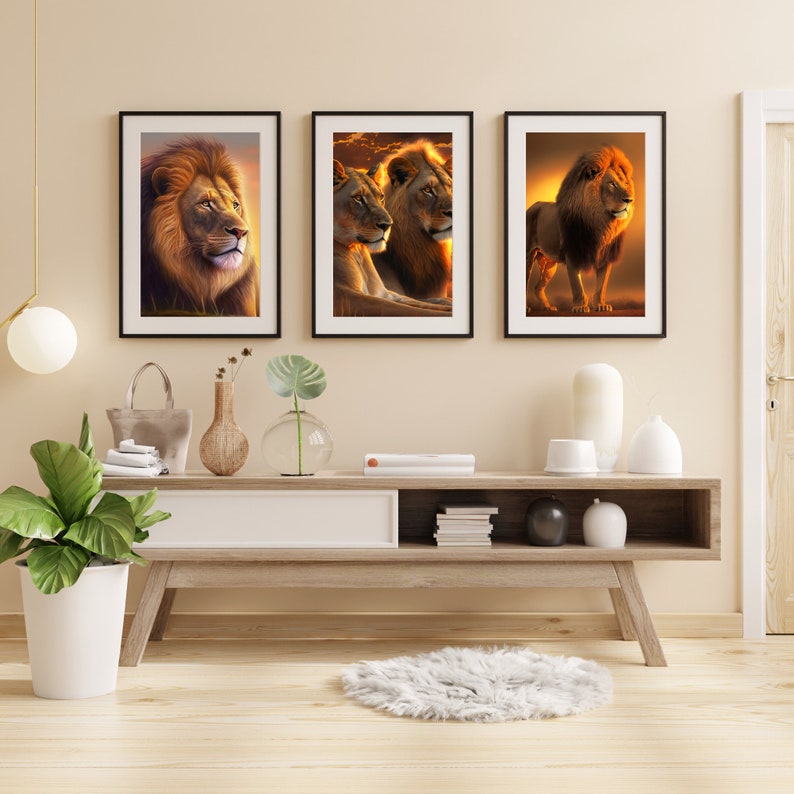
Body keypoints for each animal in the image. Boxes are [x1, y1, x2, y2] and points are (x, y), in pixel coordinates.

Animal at [332, 160, 451, 318]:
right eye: (358, 198)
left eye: (381, 196)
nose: (387, 225)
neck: (357, 252)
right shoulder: (346, 299)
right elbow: (412, 311)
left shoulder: (385, 293)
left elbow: (421, 302)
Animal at [525, 145, 635, 313]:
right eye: (612, 183)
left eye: (626, 184)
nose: (629, 200)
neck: (600, 222)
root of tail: (532, 206)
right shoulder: (573, 253)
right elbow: (577, 285)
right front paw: (580, 307)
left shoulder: (605, 256)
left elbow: (602, 285)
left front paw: (601, 305)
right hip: (528, 255)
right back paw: (527, 308)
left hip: (549, 264)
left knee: (537, 287)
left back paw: (548, 307)